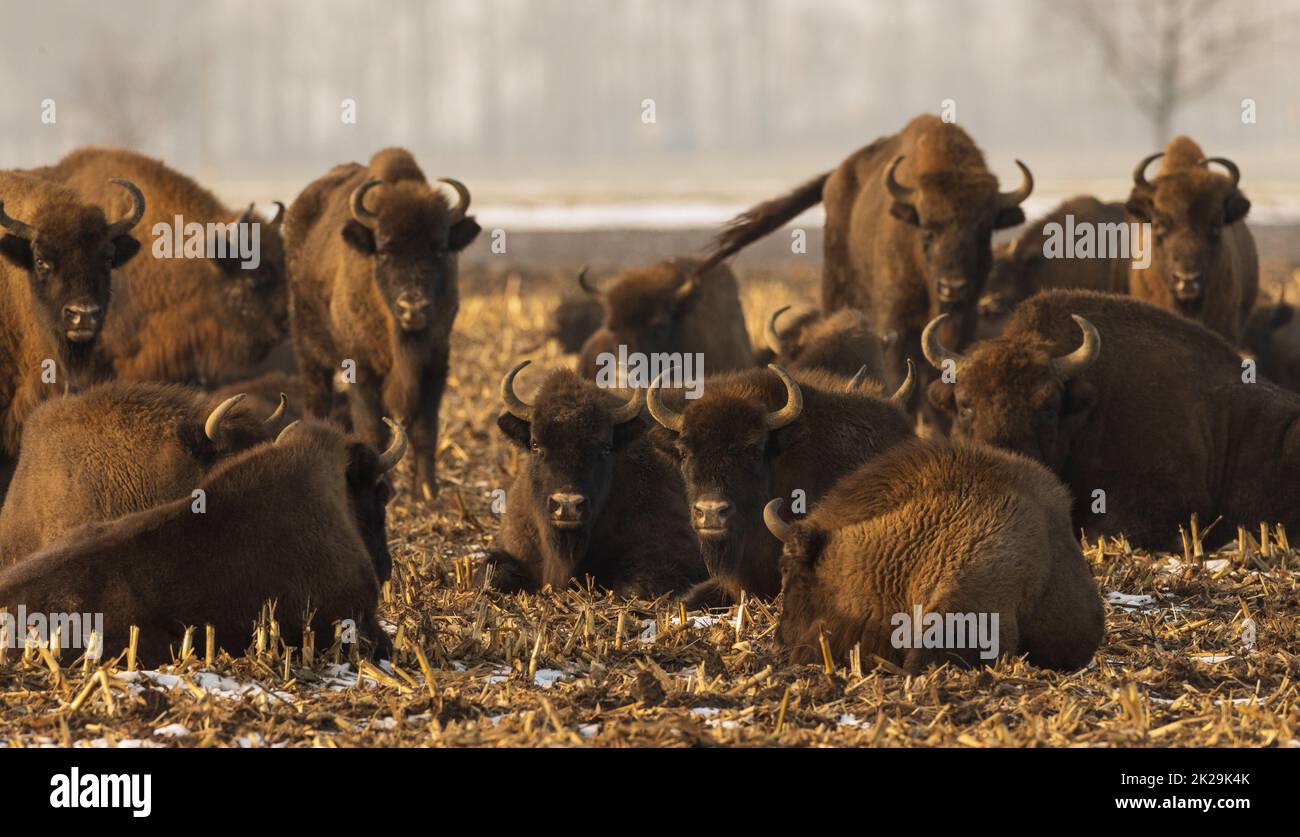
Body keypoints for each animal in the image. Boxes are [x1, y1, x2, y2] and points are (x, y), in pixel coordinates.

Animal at [285, 148, 480, 502]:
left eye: (440, 248)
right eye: (386, 248)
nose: (412, 307)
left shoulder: (436, 361)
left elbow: (425, 428)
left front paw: (426, 491)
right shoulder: (360, 366)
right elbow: (372, 429)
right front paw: (385, 487)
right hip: (309, 353)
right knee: (317, 401)